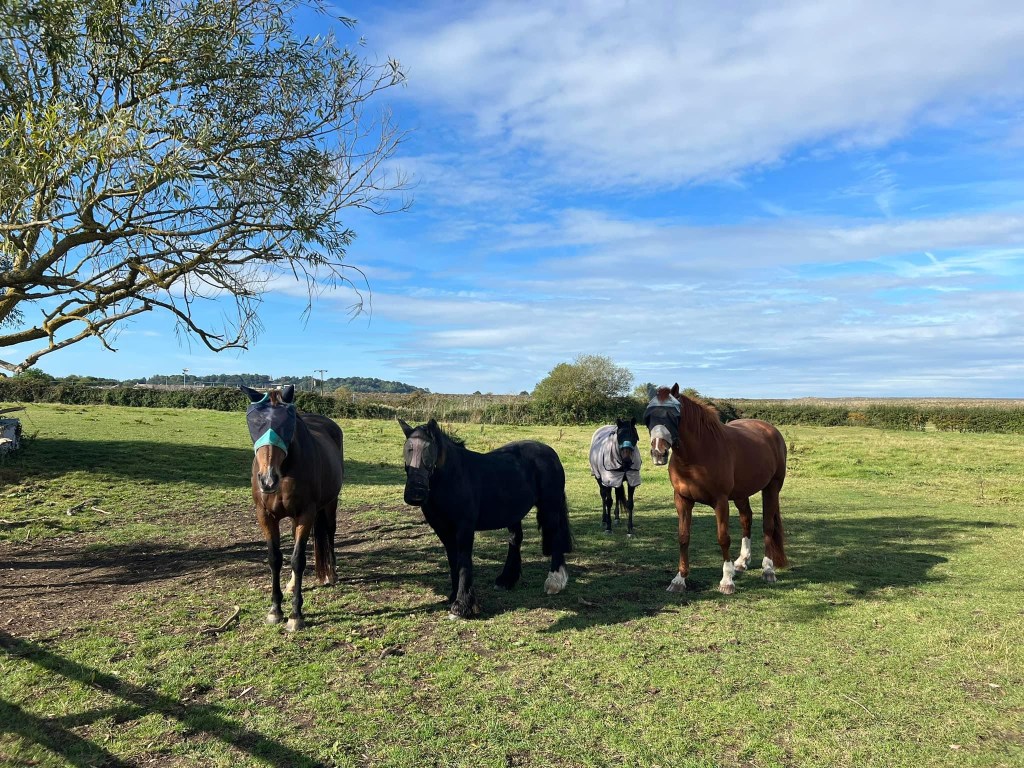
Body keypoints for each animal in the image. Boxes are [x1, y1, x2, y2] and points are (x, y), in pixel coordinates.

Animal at [240, 384, 344, 631]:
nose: (268, 480)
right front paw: (275, 610)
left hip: (330, 503)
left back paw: (332, 574)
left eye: (286, 425)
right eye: (254, 423)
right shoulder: (265, 516)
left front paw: (296, 615)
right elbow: (275, 558)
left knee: (330, 533)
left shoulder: (305, 514)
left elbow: (298, 560)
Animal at [398, 418, 574, 619]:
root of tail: (550, 453)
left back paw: (554, 582)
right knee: (515, 540)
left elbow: (464, 561)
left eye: (430, 452)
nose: (415, 493)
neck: (454, 477)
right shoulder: (443, 530)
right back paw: (506, 579)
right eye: (407, 450)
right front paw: (454, 596)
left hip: (549, 508)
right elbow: (453, 561)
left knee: (556, 537)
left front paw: (462, 605)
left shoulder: (464, 528)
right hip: (514, 513)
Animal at [654, 384, 788, 595]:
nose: (658, 452)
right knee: (746, 519)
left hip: (772, 487)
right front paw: (679, 579)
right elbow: (683, 537)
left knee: (768, 525)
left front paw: (727, 581)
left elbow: (723, 538)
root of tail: (771, 430)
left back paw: (768, 570)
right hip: (741, 494)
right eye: (649, 414)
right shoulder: (682, 500)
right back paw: (742, 562)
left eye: (674, 415)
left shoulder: (721, 501)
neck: (698, 455)